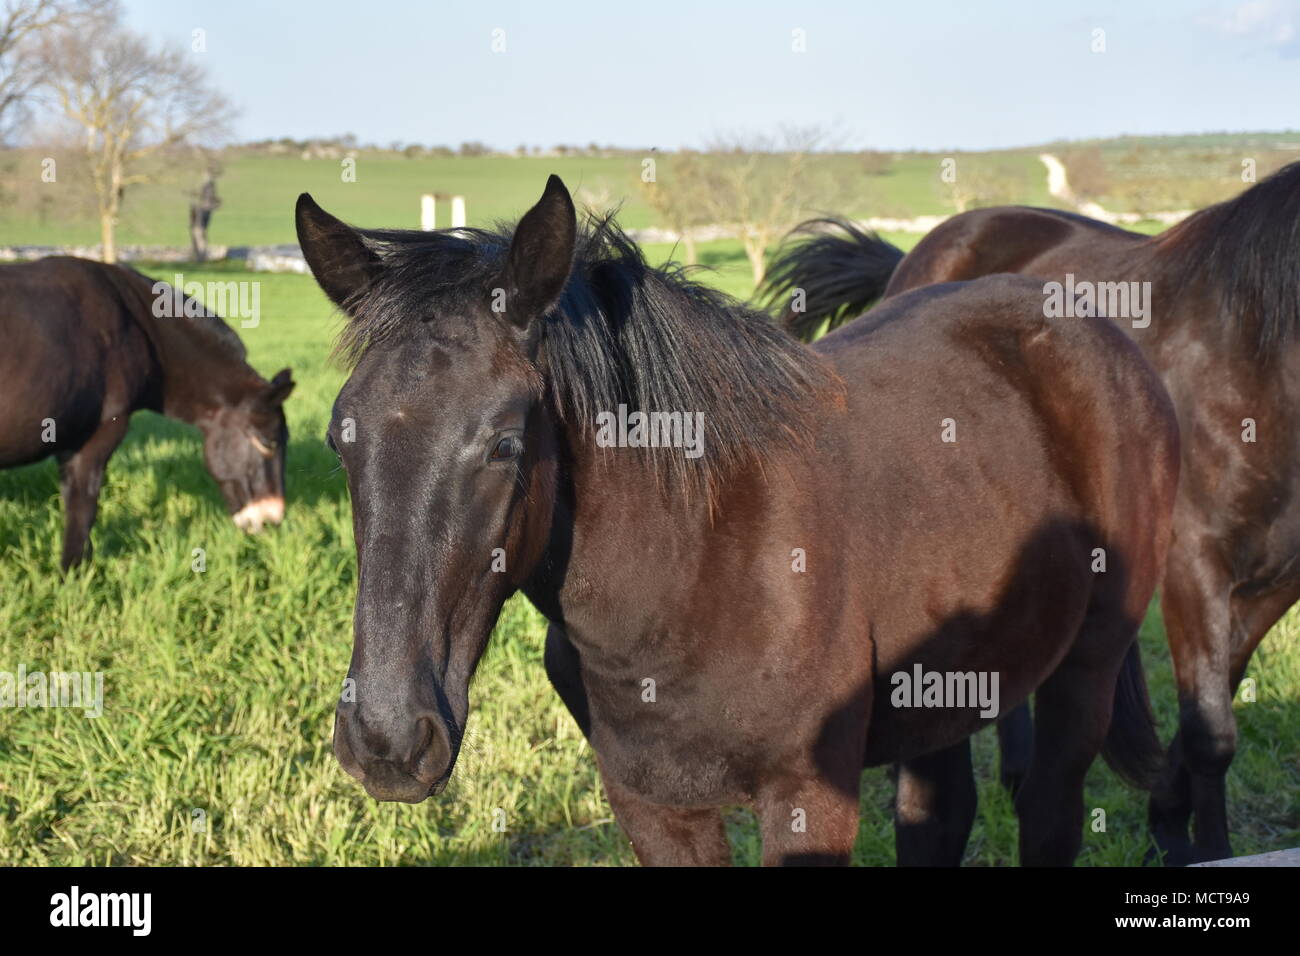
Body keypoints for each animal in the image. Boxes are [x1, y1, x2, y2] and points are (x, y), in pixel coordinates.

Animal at [0, 257, 295, 569]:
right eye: (268, 442)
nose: (274, 519)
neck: (138, 323)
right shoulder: (99, 434)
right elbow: (82, 506)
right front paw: (75, 572)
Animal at [298, 175, 1179, 866]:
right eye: (342, 437)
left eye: (505, 442)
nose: (385, 740)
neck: (693, 572)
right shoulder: (653, 808)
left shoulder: (809, 800)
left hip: (1087, 667)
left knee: (1050, 810)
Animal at [761, 160, 1300, 865]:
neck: (1251, 359)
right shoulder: (1195, 568)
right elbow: (1212, 734)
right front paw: (1200, 845)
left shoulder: (1272, 585)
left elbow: (1207, 721)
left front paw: (1170, 825)